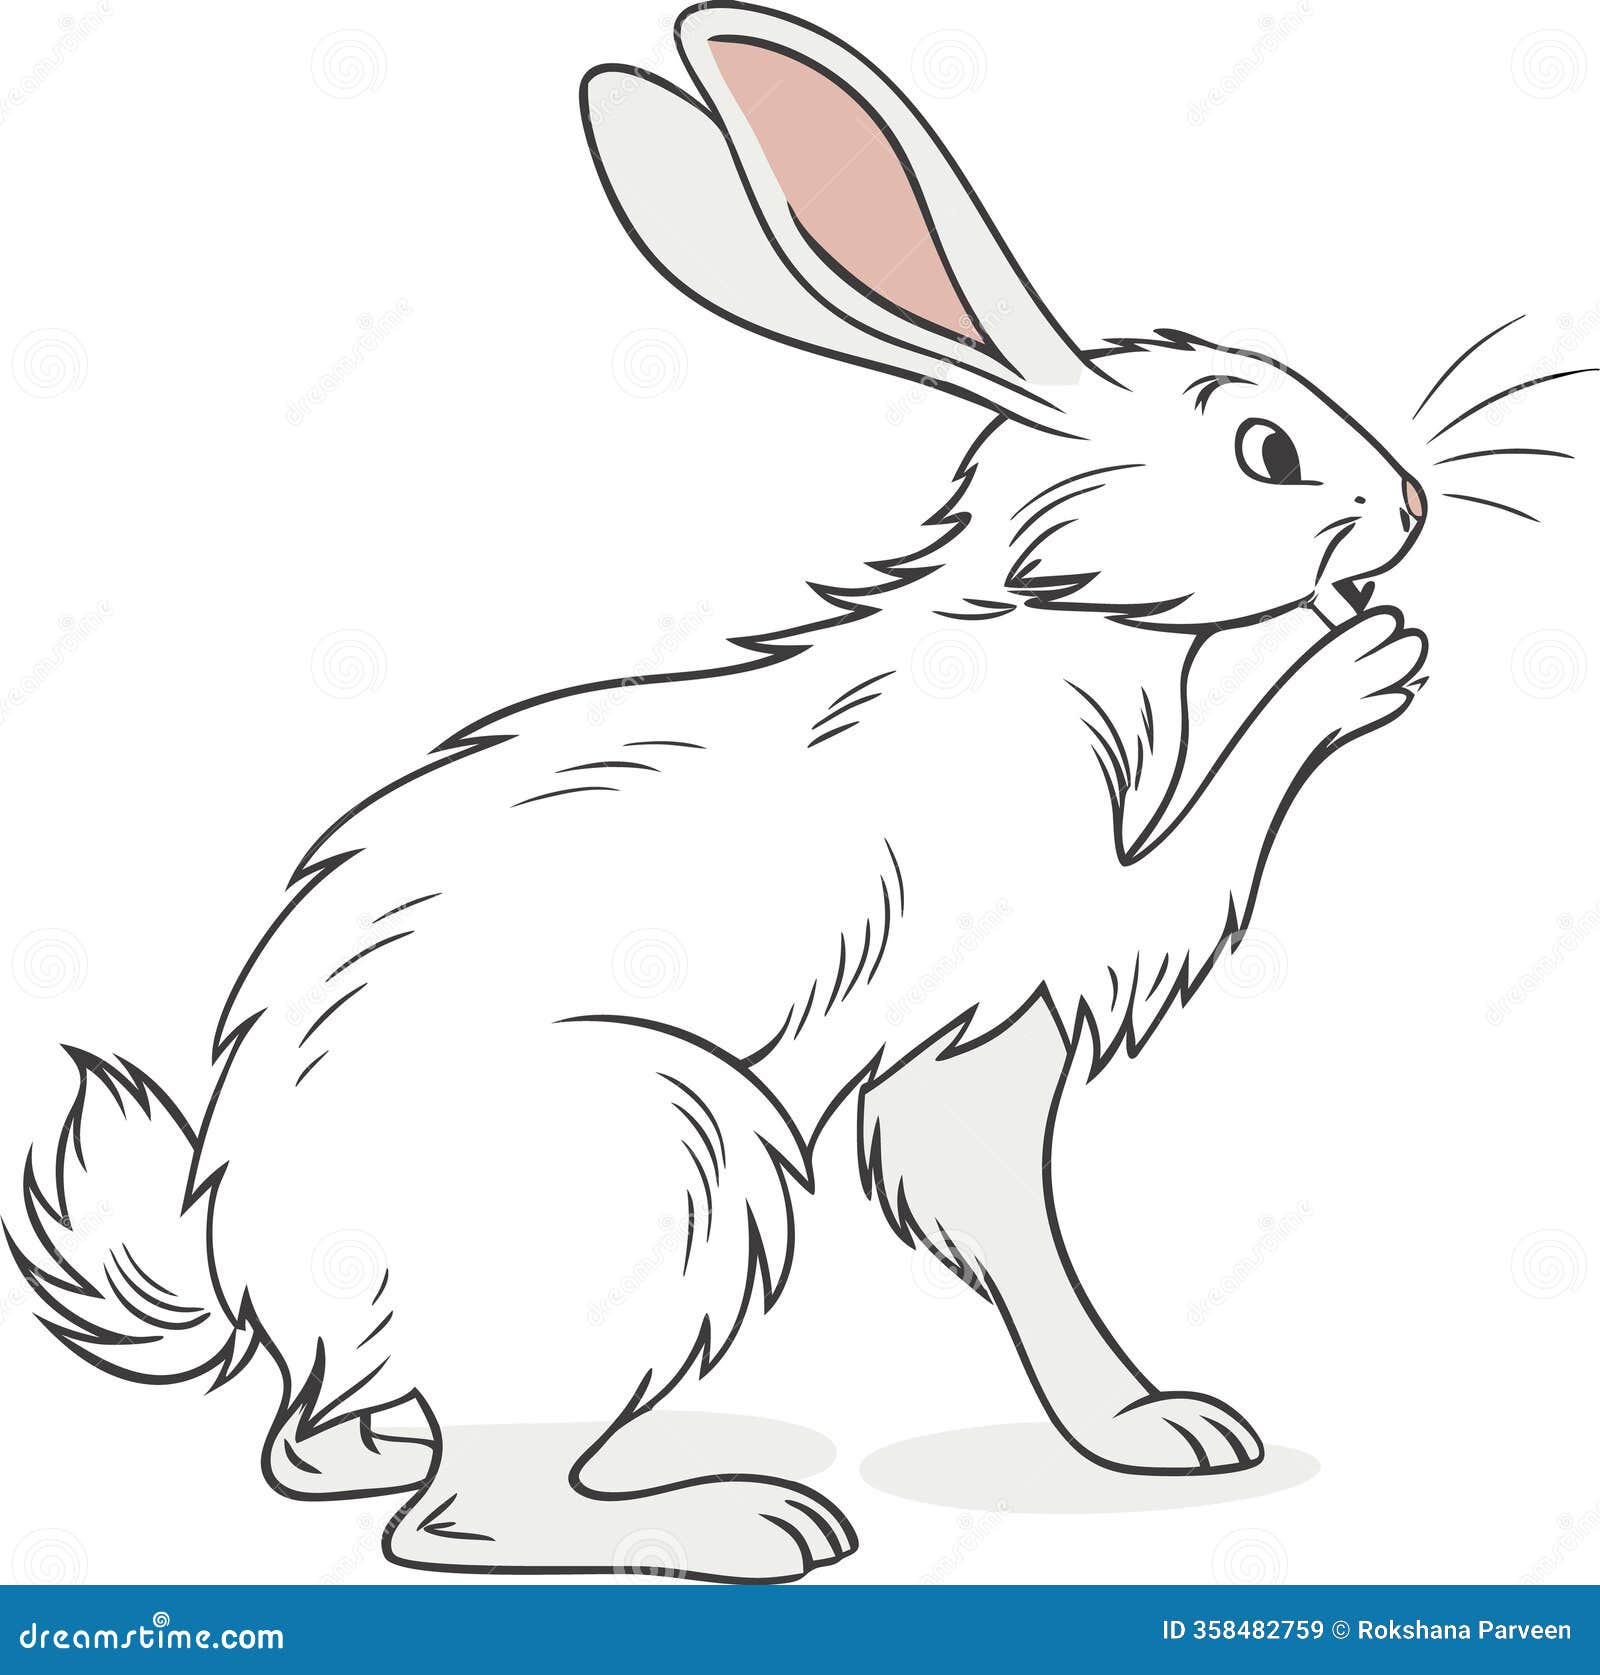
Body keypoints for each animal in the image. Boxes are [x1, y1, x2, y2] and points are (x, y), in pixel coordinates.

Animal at [8, 4, 1430, 1583]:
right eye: (1268, 450)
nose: (1411, 508)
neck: (1042, 609)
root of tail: (258, 1273)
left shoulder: (972, 1050)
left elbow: (1016, 1236)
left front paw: (1155, 1429)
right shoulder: (1047, 900)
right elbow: (1179, 866)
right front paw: (1351, 662)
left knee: (319, 1449)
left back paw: (388, 1448)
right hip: (670, 1137)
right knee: (466, 1513)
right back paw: (734, 1519)